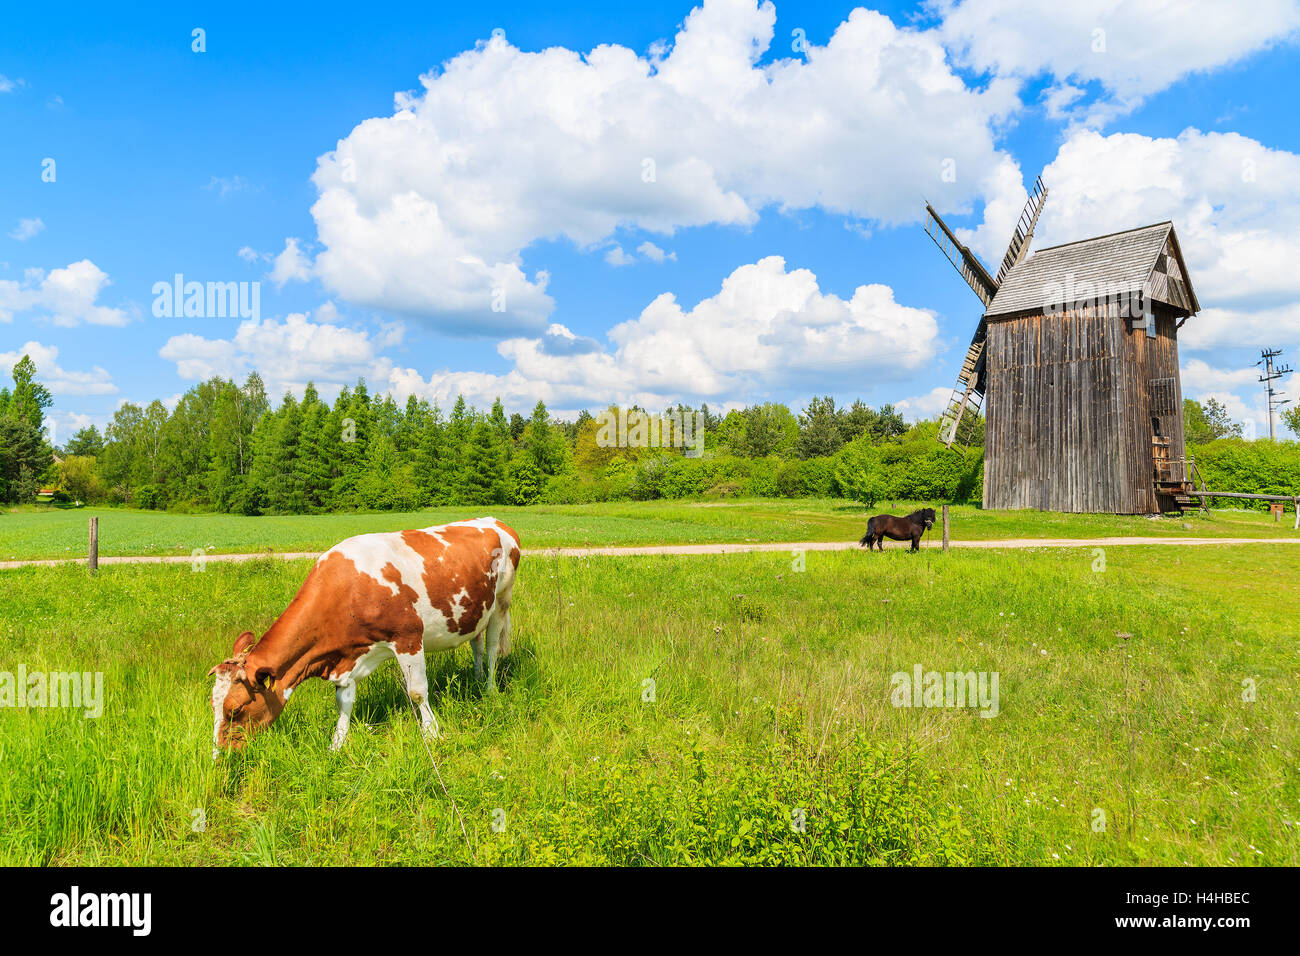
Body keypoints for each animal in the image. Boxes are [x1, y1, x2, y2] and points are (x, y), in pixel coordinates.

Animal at [208, 517, 521, 754]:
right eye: (213, 705)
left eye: (235, 710)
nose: (220, 755)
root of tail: (494, 521)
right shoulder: (348, 655)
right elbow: (344, 701)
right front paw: (337, 743)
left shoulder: (408, 637)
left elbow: (417, 691)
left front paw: (432, 733)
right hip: (474, 612)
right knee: (476, 647)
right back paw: (477, 680)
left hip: (501, 603)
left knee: (491, 650)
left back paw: (490, 690)